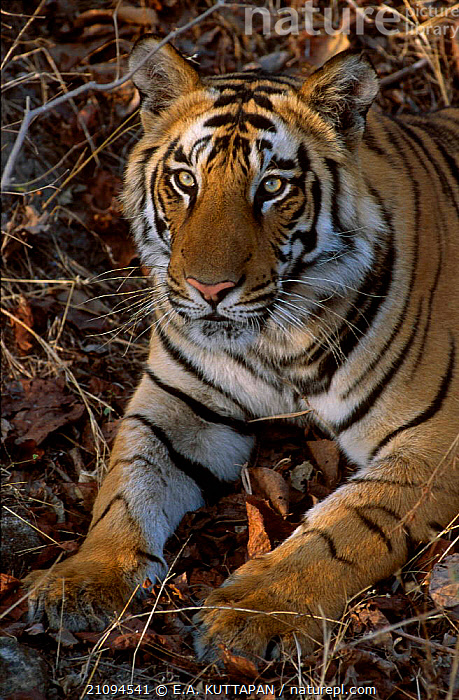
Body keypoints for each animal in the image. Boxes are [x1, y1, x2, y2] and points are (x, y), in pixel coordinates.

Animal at [24, 36, 459, 662]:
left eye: (272, 186)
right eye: (186, 180)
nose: (209, 289)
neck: (279, 341)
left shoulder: (433, 444)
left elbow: (346, 526)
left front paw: (254, 612)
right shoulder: (177, 402)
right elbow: (126, 486)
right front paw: (88, 578)